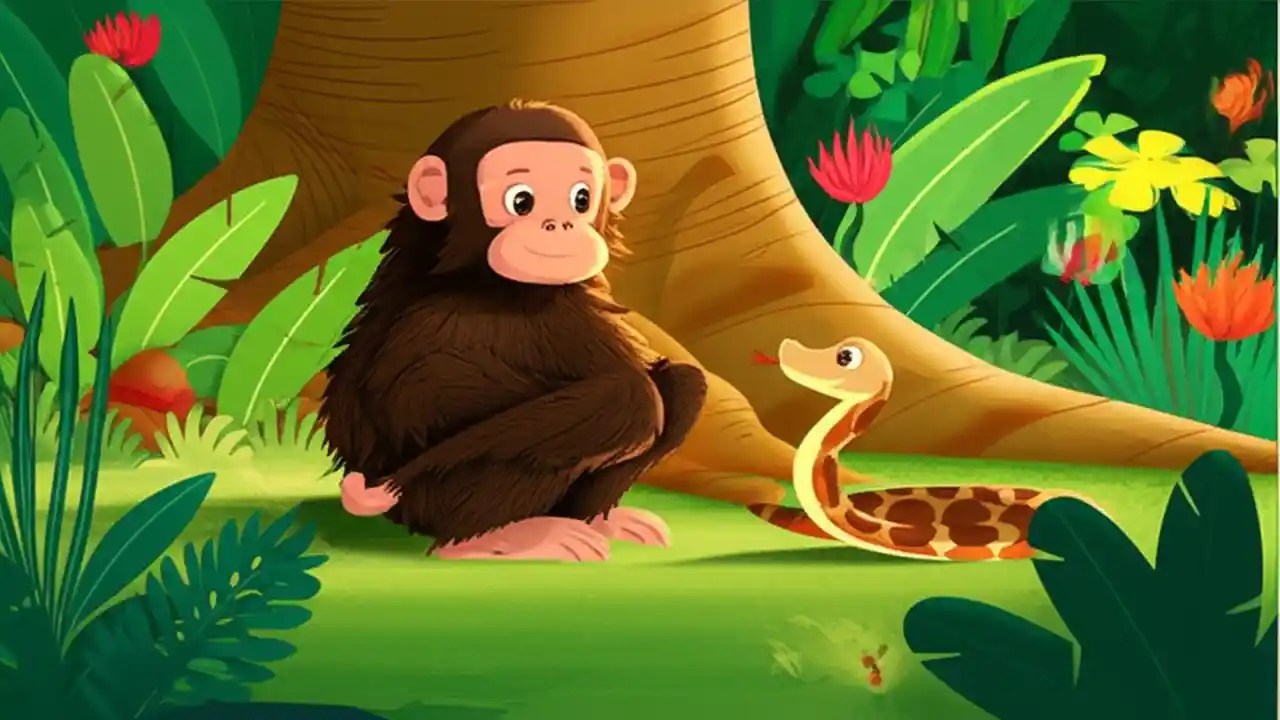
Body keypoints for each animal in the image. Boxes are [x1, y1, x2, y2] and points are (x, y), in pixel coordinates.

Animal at [319, 100, 708, 563]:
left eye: (581, 198)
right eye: (521, 200)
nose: (559, 223)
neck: (505, 289)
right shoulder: (435, 318)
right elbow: (420, 392)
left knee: (681, 387)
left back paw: (598, 520)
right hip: (438, 502)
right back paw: (503, 537)